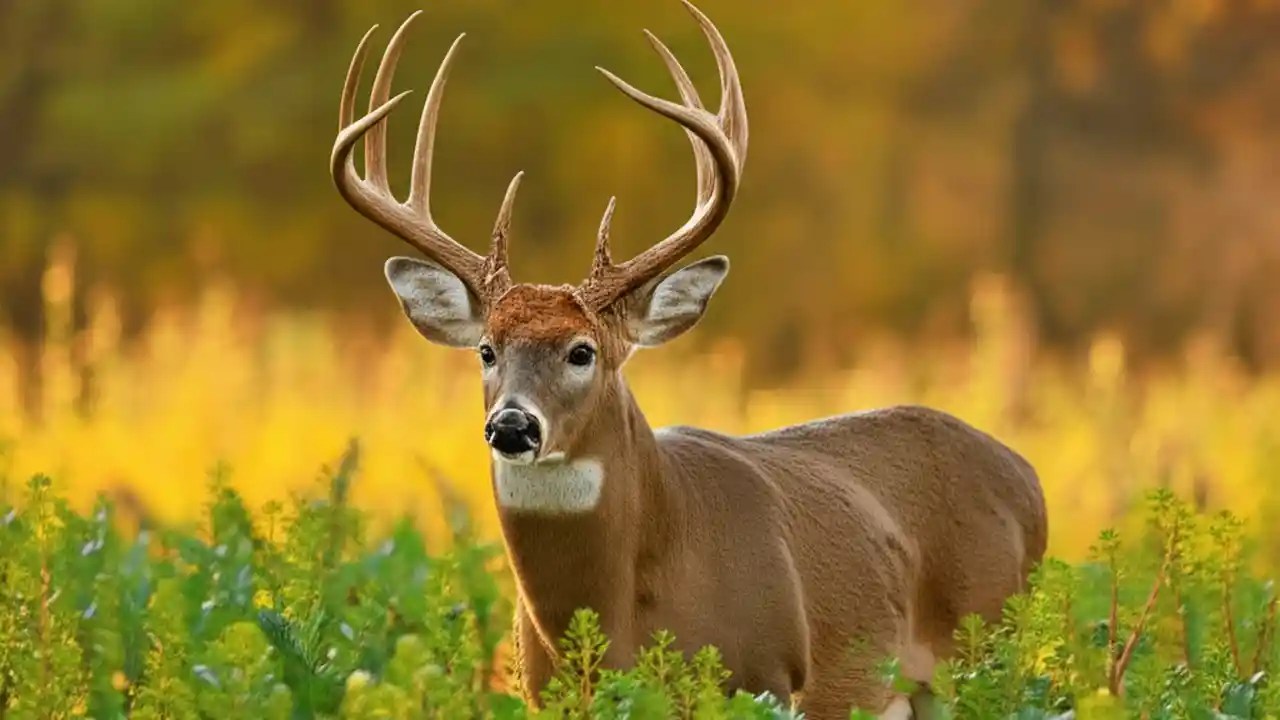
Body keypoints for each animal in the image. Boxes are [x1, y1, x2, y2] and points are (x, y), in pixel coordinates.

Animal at [329, 3, 1048, 717]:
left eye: (582, 351)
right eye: (486, 349)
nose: (511, 425)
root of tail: (1027, 476)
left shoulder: (766, 674)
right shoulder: (541, 695)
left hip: (984, 651)